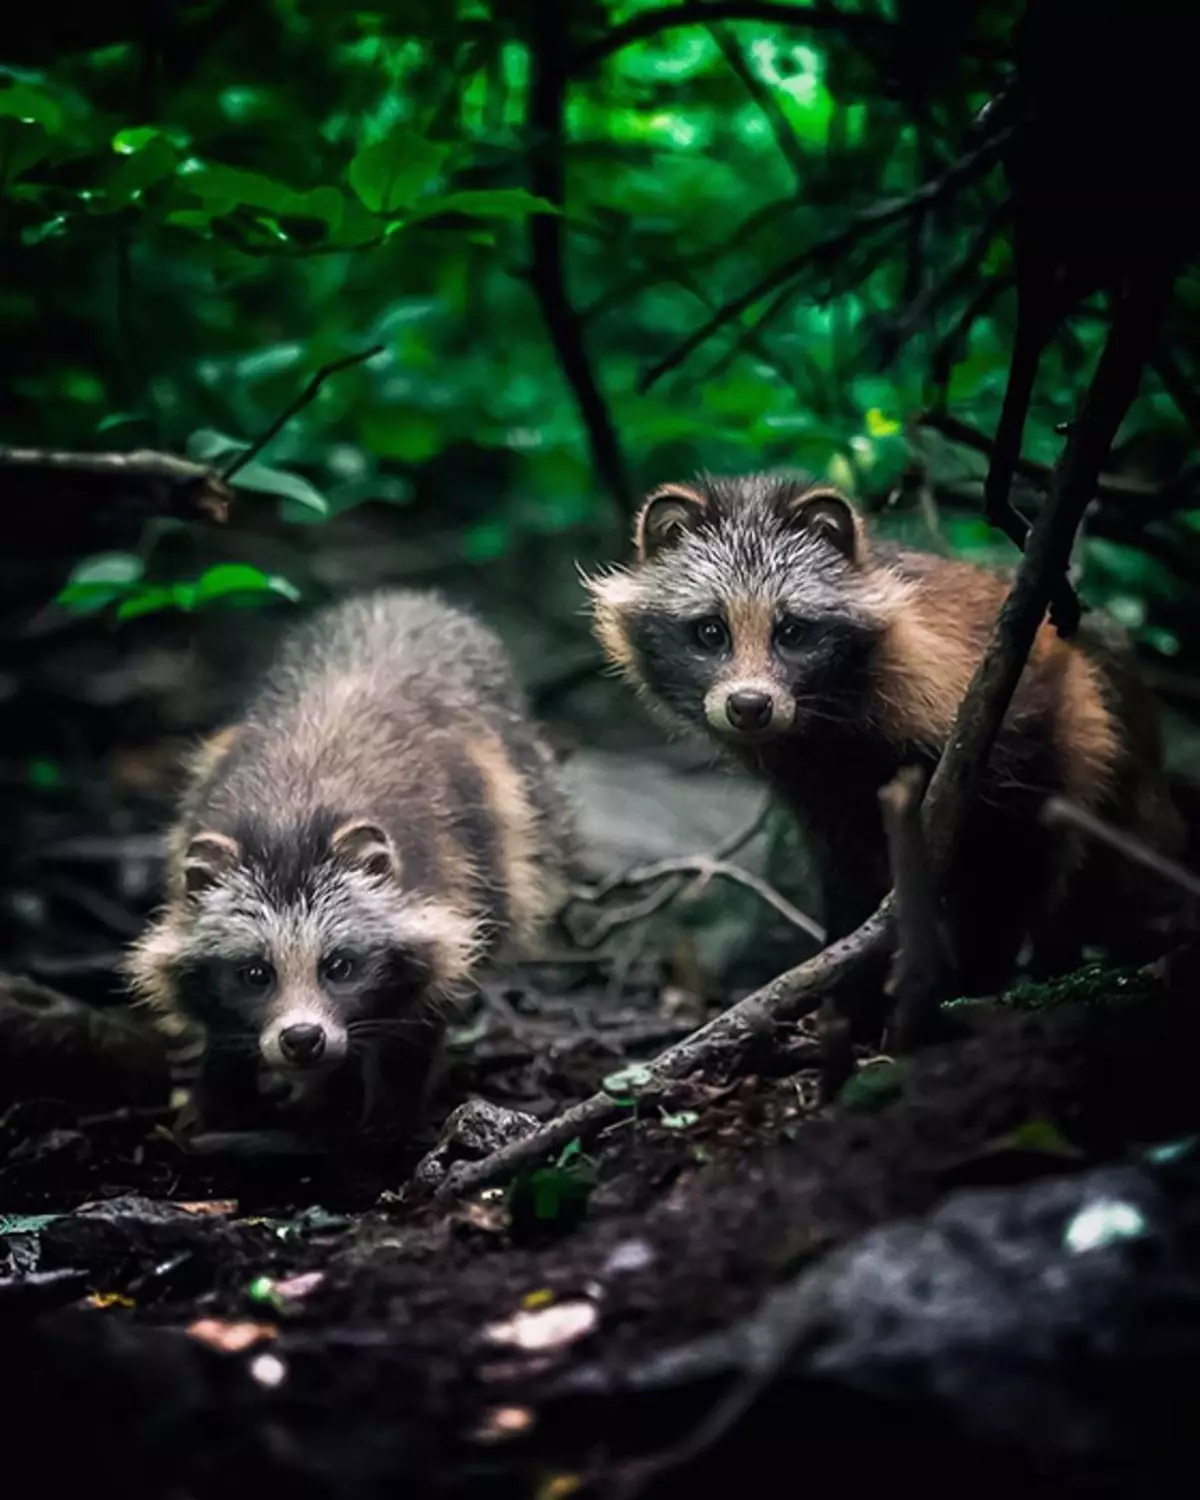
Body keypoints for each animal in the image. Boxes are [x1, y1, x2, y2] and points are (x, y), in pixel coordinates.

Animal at [126, 588, 573, 1146]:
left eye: (338, 966)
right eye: (255, 973)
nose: (302, 1039)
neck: (290, 823)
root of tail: (404, 598)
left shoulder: (453, 881)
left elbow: (421, 1009)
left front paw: (388, 1110)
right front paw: (220, 1089)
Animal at [588, 468, 1182, 996]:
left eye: (793, 632)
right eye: (710, 631)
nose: (750, 706)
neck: (822, 730)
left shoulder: (1016, 731)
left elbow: (1003, 873)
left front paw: (973, 979)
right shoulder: (826, 801)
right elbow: (853, 881)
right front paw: (850, 988)